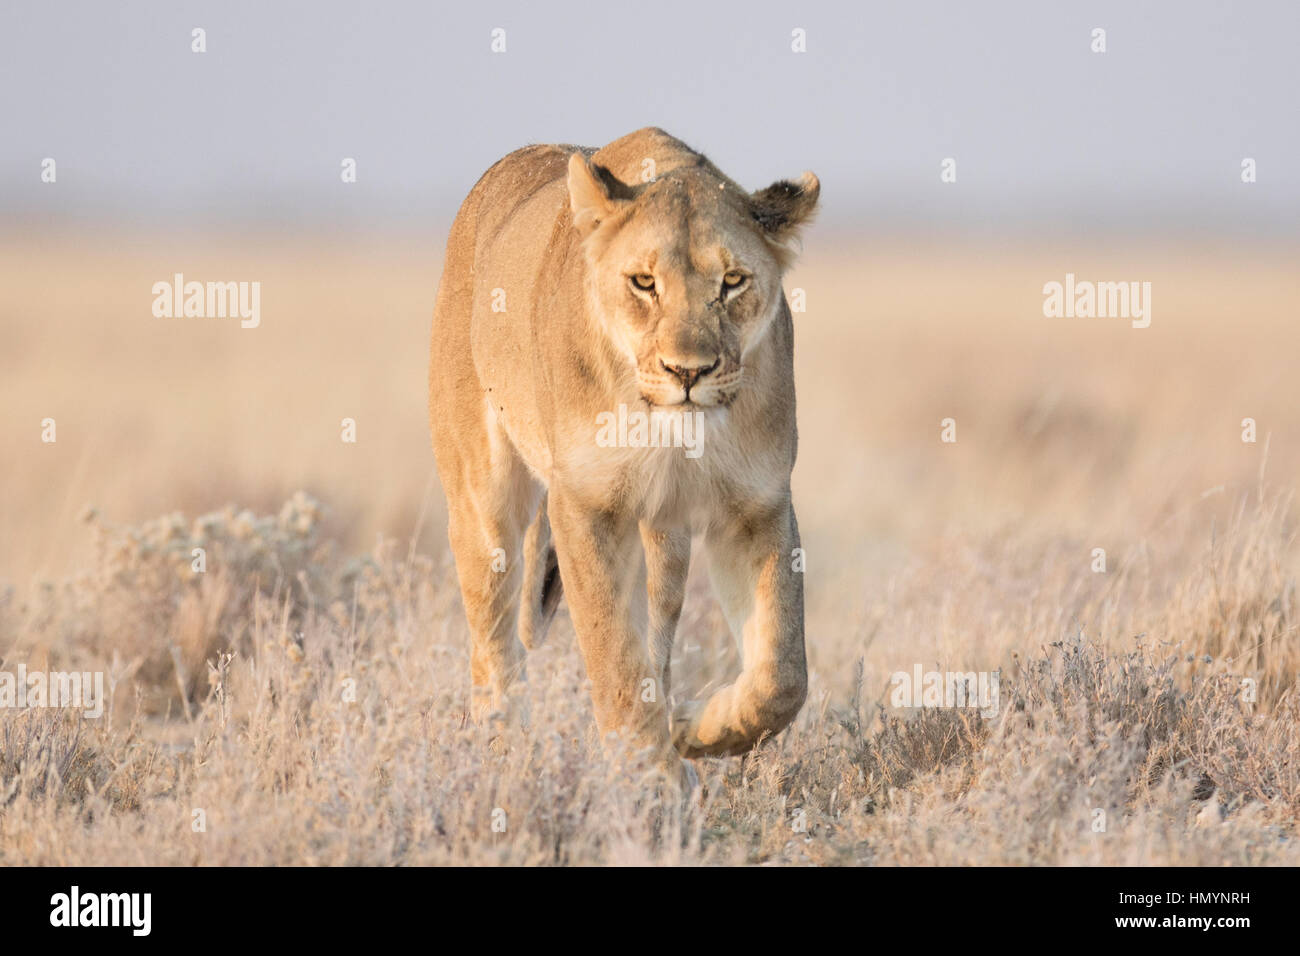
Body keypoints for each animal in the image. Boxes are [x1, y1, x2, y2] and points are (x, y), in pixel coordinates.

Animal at [429, 127, 818, 782]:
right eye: (643, 283)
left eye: (733, 282)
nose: (688, 371)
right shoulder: (587, 507)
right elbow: (613, 656)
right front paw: (650, 781)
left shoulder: (757, 507)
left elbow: (781, 676)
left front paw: (692, 731)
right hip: (484, 503)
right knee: (494, 641)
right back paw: (501, 757)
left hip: (665, 539)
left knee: (656, 637)